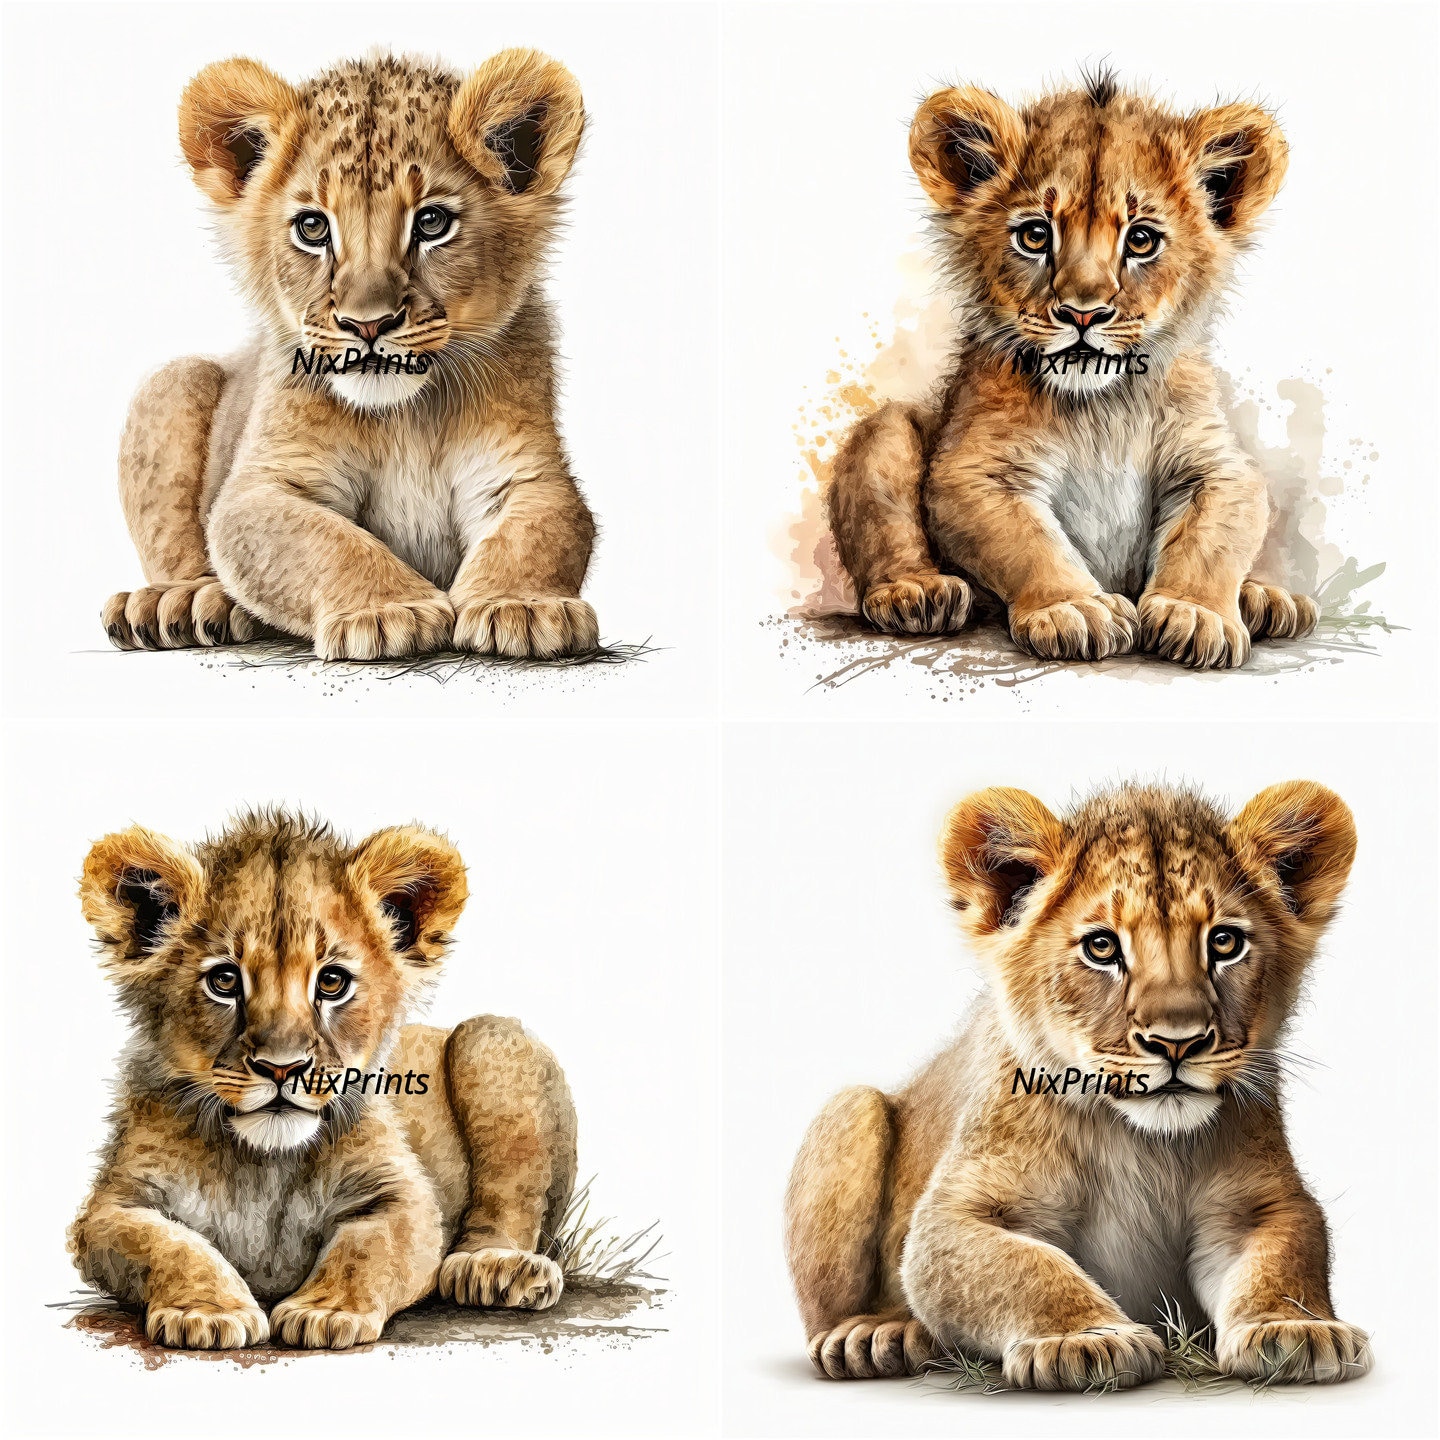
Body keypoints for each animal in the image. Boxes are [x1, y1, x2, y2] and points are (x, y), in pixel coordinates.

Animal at [71, 810, 577, 1350]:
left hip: (490, 1039)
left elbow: (369, 1246)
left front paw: (326, 1311)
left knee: (515, 1196)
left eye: (332, 982)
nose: (282, 1067)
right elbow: (169, 1242)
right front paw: (207, 1312)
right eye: (224, 981)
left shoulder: (405, 1196)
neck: (265, 1164)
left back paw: (494, 1266)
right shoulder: (114, 1205)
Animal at [103, 49, 599, 662]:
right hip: (171, 383)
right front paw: (388, 611)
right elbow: (328, 542)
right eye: (313, 227)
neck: (407, 416)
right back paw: (186, 601)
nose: (368, 323)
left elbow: (538, 533)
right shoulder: (262, 488)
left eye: (431, 222)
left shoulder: (528, 474)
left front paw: (523, 606)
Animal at [785, 780, 1371, 1390]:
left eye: (1226, 943)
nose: (1177, 1042)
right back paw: (878, 1336)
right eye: (1102, 947)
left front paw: (1295, 1330)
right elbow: (1026, 1267)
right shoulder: (956, 1215)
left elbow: (1283, 1258)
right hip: (850, 1111)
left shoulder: (1259, 1206)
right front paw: (1085, 1339)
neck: (1141, 1141)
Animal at [827, 69, 1317, 669]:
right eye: (1035, 235)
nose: (1083, 312)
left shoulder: (1215, 463)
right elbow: (1028, 541)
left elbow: (1213, 534)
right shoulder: (973, 470)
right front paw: (1075, 609)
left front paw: (1195, 612)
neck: (1100, 408)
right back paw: (916, 592)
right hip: (888, 430)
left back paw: (1266, 600)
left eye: (1141, 239)